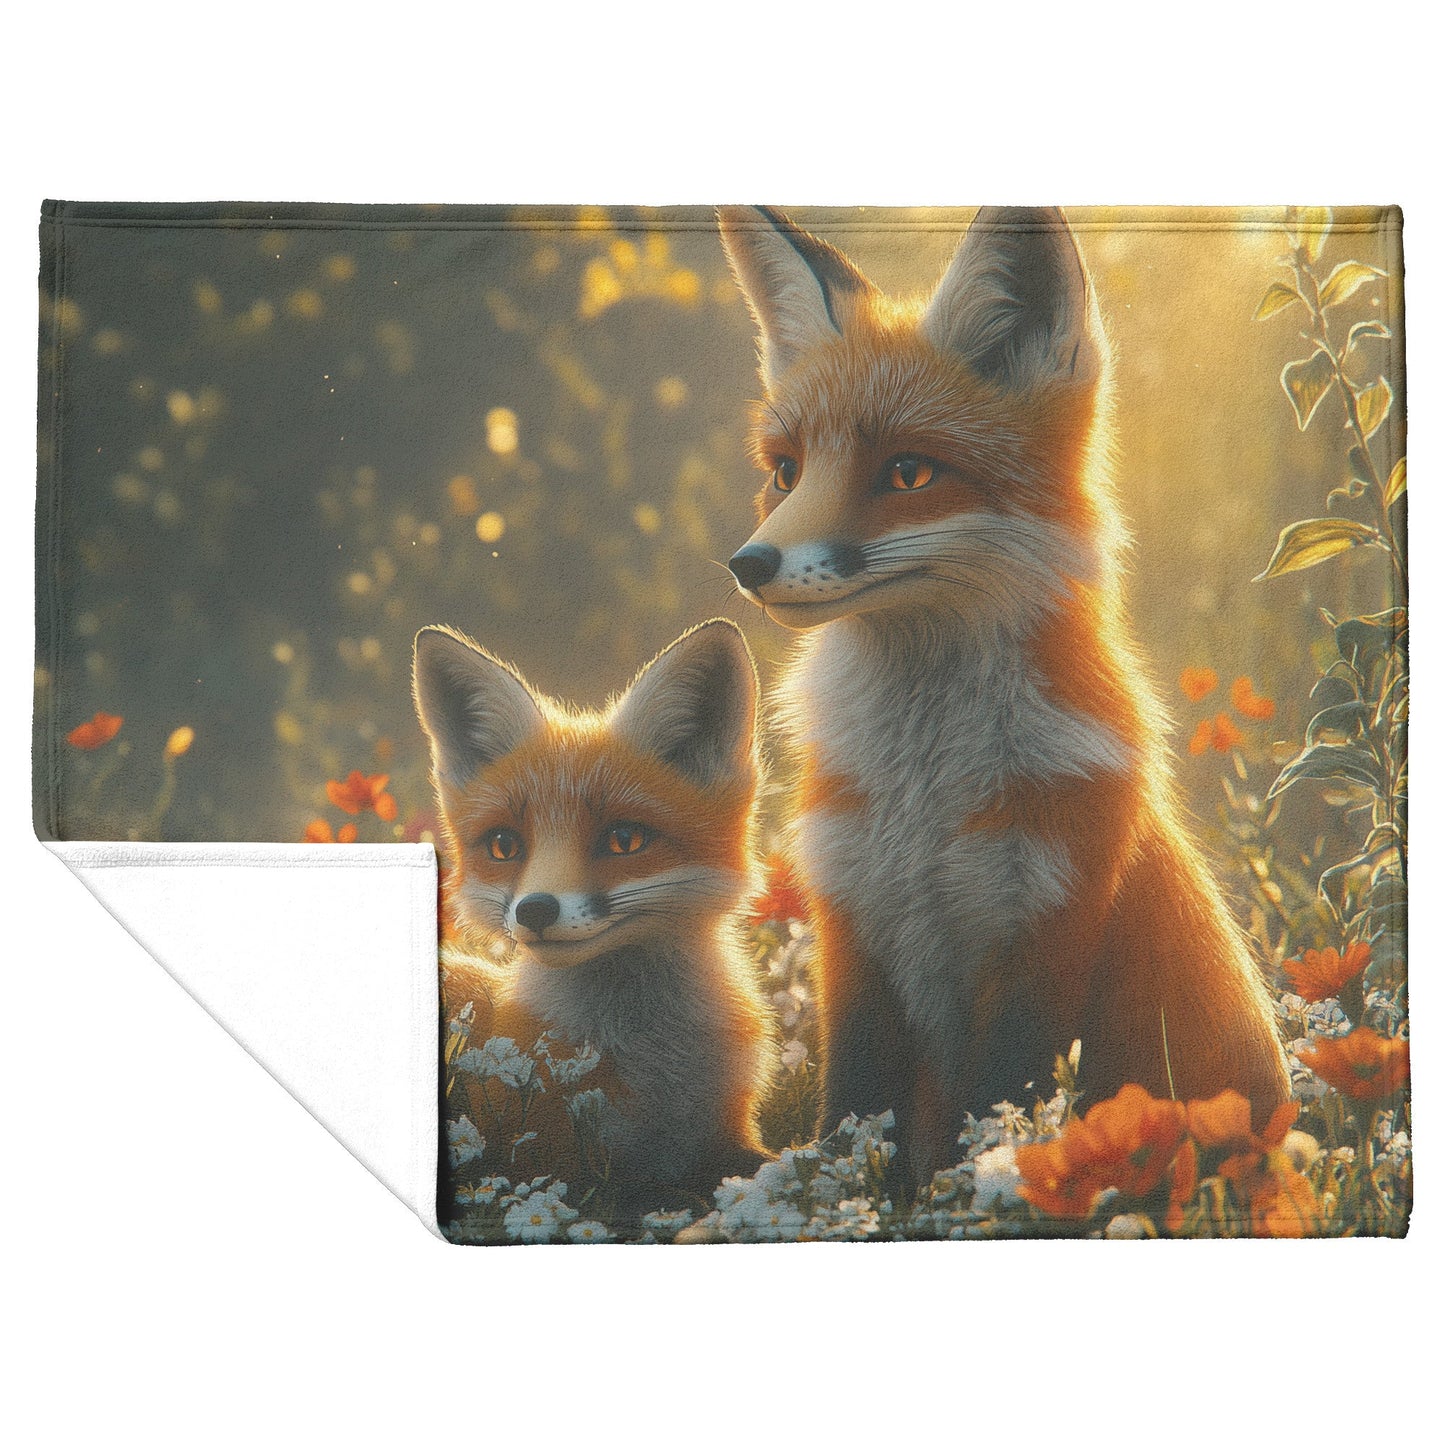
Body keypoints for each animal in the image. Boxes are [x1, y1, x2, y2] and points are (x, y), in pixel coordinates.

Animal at [414, 618, 774, 1209]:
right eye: (504, 846)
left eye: (624, 839)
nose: (534, 909)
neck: (658, 1066)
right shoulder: (560, 1165)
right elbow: (647, 1193)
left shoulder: (728, 1136)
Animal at [717, 205, 1291, 1181]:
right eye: (785, 471)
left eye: (908, 472)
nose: (748, 564)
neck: (921, 792)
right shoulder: (849, 923)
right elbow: (852, 1108)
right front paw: (833, 1191)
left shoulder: (1042, 926)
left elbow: (997, 1105)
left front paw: (976, 1190)